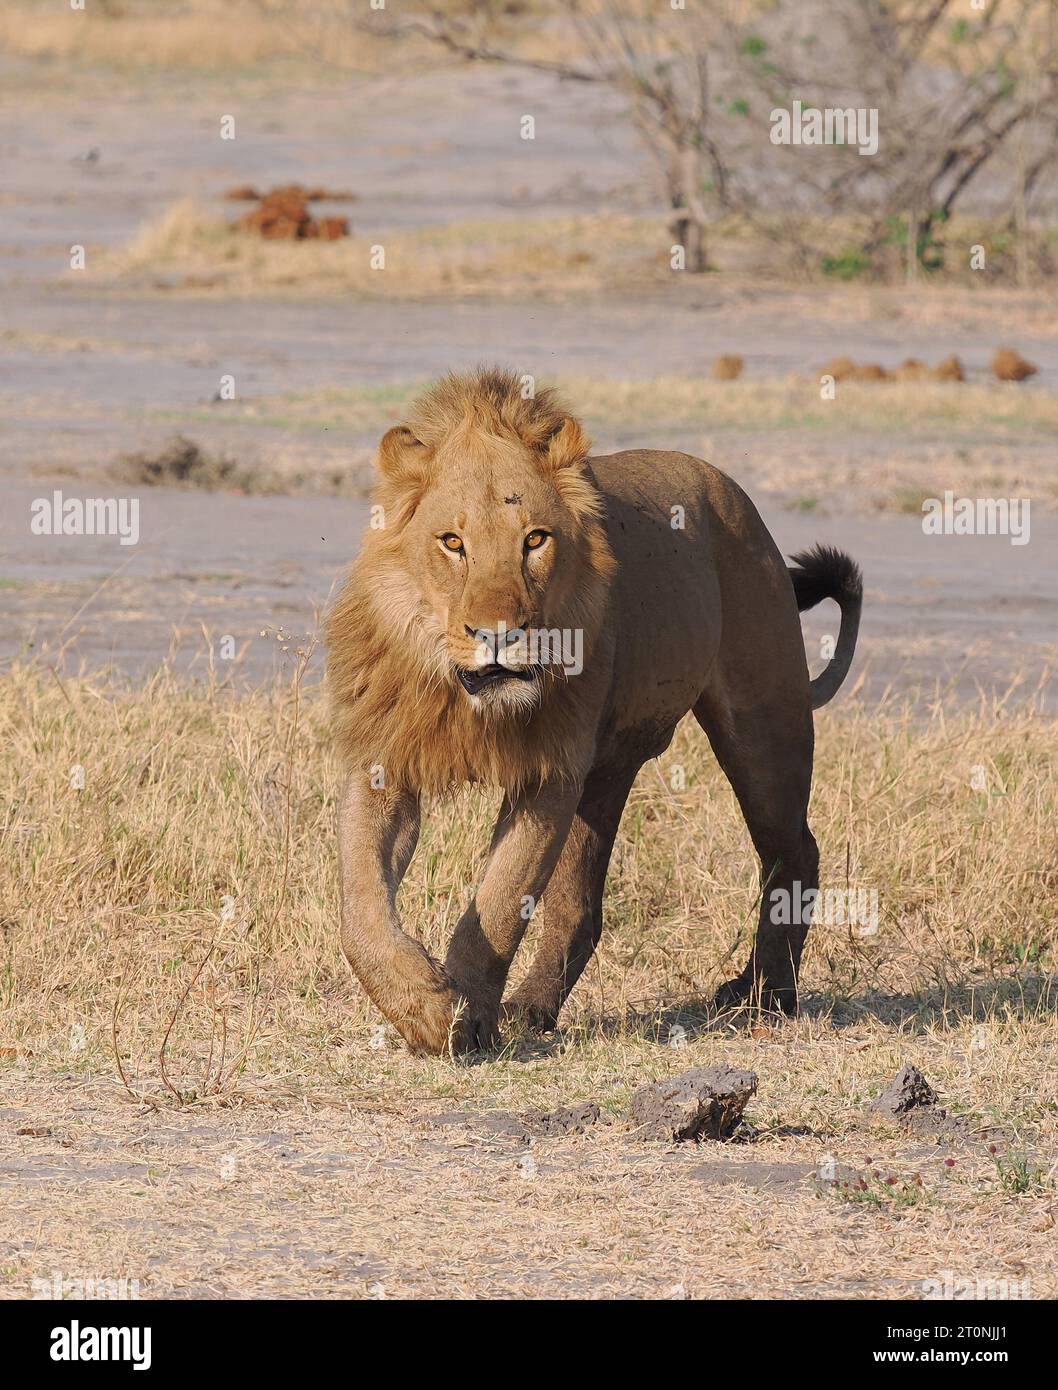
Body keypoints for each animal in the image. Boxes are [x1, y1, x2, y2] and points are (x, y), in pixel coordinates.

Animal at [326, 367, 862, 1054]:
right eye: (452, 543)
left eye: (534, 540)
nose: (499, 634)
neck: (465, 699)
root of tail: (734, 493)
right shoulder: (385, 762)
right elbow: (360, 909)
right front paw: (423, 1007)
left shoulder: (551, 773)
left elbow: (497, 902)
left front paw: (463, 1017)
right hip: (608, 773)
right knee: (581, 905)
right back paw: (538, 1009)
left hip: (762, 725)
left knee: (795, 851)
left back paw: (765, 996)